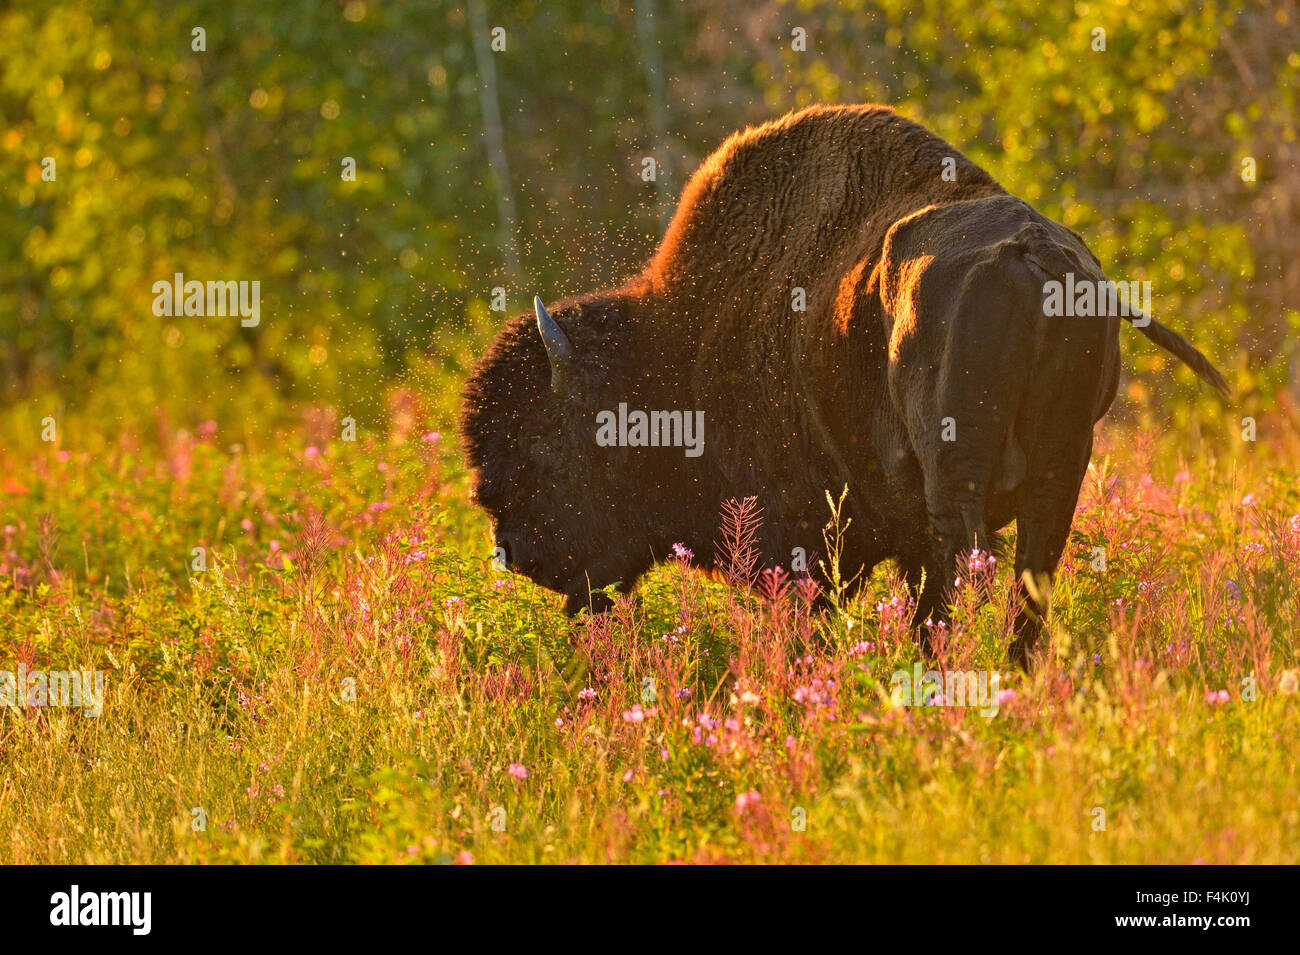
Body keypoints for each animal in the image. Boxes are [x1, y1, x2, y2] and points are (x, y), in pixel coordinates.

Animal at [460, 104, 1227, 666]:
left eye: (545, 441)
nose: (514, 550)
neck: (678, 345)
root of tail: (1038, 256)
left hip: (959, 474)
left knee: (961, 573)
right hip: (1059, 473)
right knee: (1023, 582)